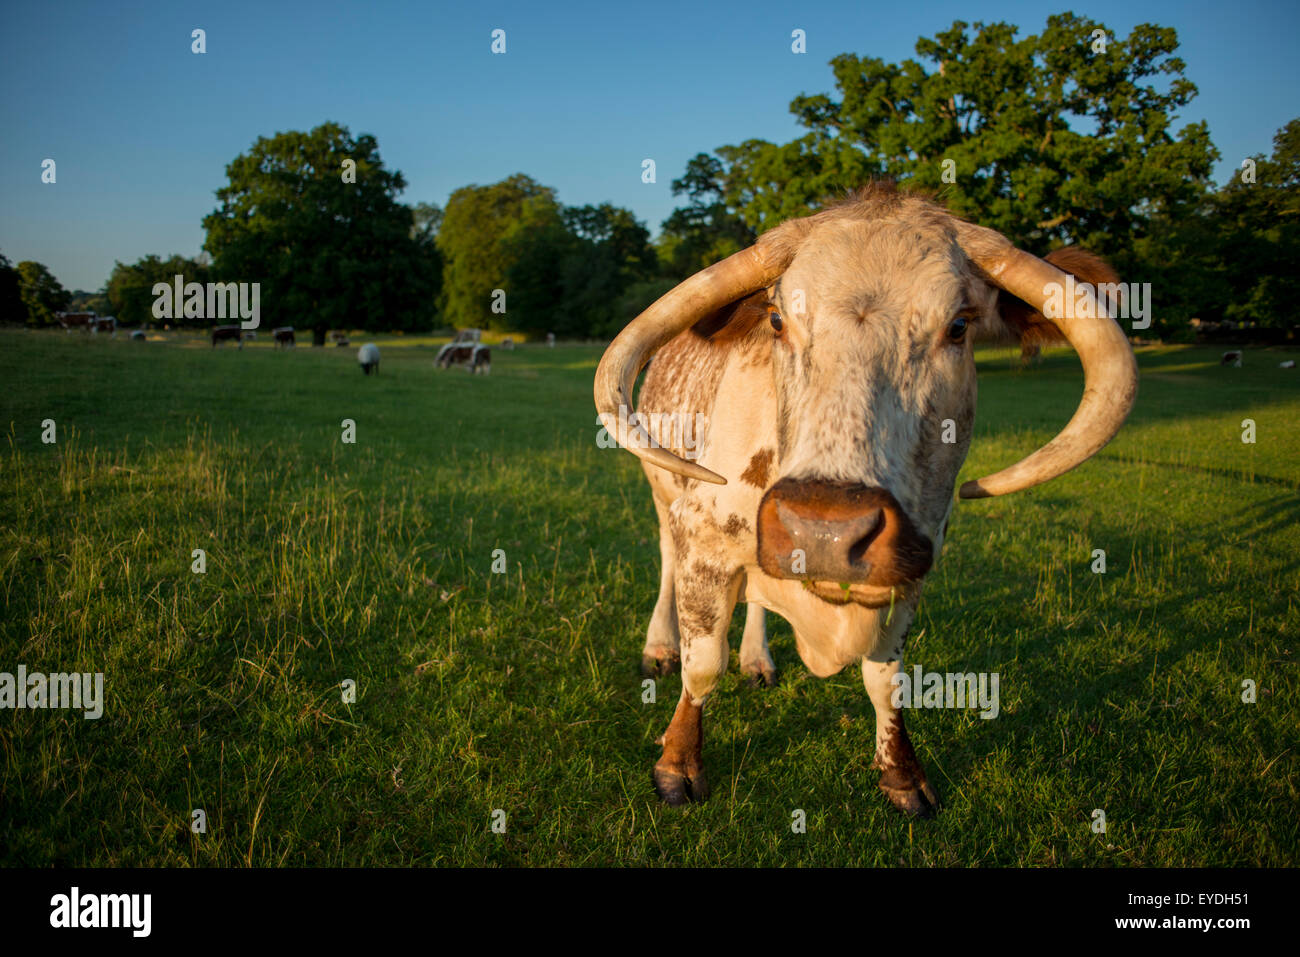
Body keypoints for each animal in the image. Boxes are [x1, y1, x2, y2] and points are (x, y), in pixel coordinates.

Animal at [594, 184, 1137, 815]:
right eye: (777, 319)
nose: (823, 531)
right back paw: (661, 647)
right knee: (664, 560)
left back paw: (758, 658)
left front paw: (902, 775)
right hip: (663, 491)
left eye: (959, 326)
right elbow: (704, 666)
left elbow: (887, 679)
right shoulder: (702, 543)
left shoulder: (913, 568)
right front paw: (677, 765)